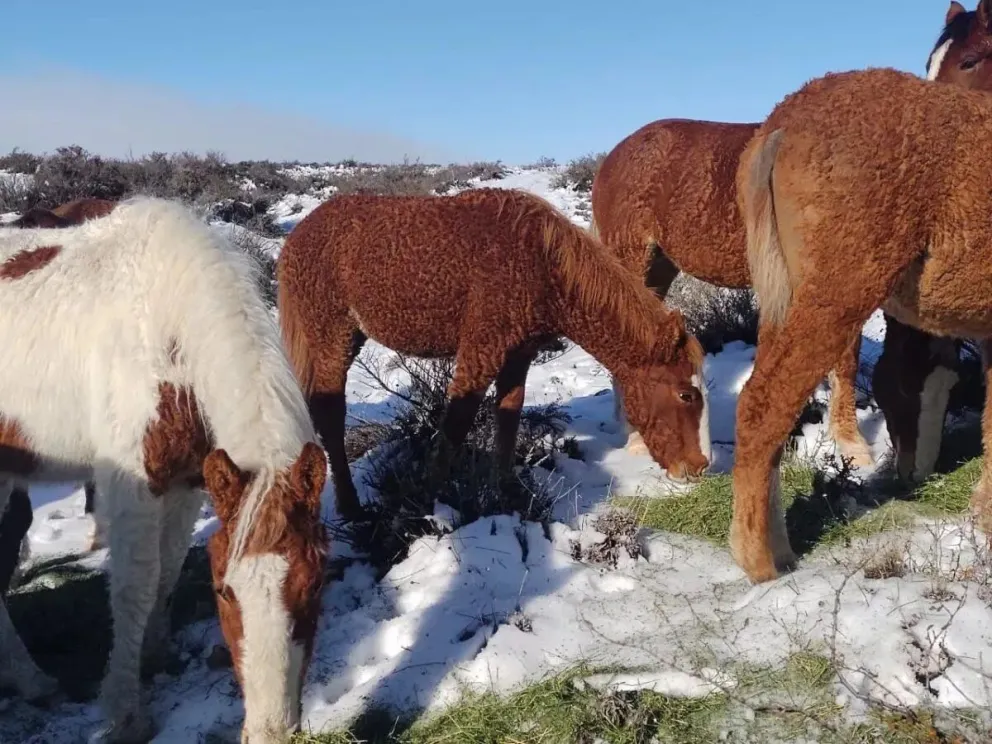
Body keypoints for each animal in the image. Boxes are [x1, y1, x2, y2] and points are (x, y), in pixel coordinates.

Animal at [0, 197, 328, 744]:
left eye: (316, 585)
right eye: (223, 591)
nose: (271, 732)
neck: (165, 331)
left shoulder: (188, 482)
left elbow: (169, 567)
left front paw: (154, 654)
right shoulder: (132, 484)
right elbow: (136, 582)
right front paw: (125, 710)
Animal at [277, 187, 711, 520]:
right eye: (686, 394)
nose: (699, 467)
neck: (542, 264)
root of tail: (295, 239)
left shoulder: (517, 356)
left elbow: (508, 419)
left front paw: (507, 492)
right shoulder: (481, 350)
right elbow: (456, 426)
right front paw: (425, 505)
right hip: (332, 338)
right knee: (330, 418)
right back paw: (351, 509)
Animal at [731, 66, 992, 583]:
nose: (915, 473)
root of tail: (782, 124)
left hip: (785, 300)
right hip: (836, 297)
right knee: (761, 407)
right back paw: (760, 563)